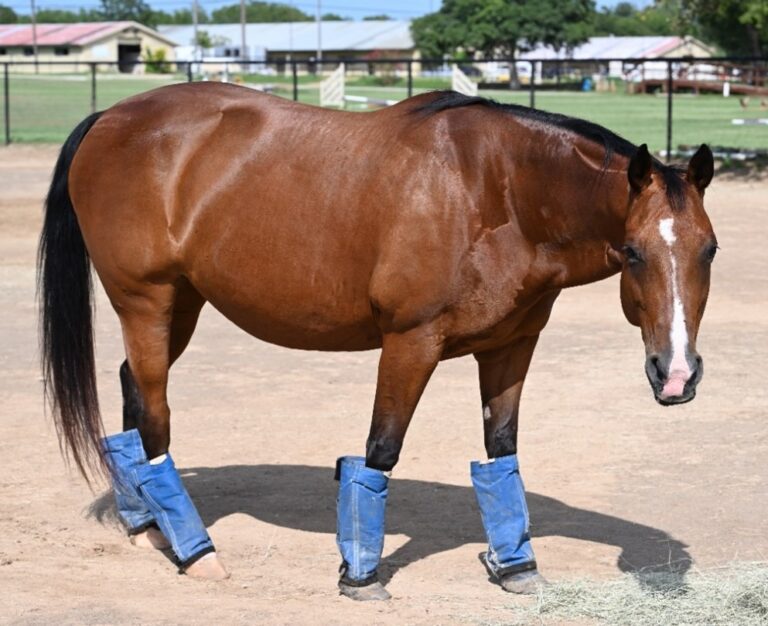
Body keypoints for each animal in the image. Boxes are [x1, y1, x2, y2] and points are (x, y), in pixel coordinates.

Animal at [38, 85, 716, 600]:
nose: (677, 374)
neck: (495, 191)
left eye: (709, 249)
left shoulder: (512, 345)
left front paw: (517, 568)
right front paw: (358, 577)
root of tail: (112, 117)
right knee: (153, 416)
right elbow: (380, 451)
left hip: (182, 303)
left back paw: (146, 524)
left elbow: (501, 452)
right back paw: (194, 551)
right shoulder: (410, 343)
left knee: (130, 392)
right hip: (146, 302)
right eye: (633, 252)